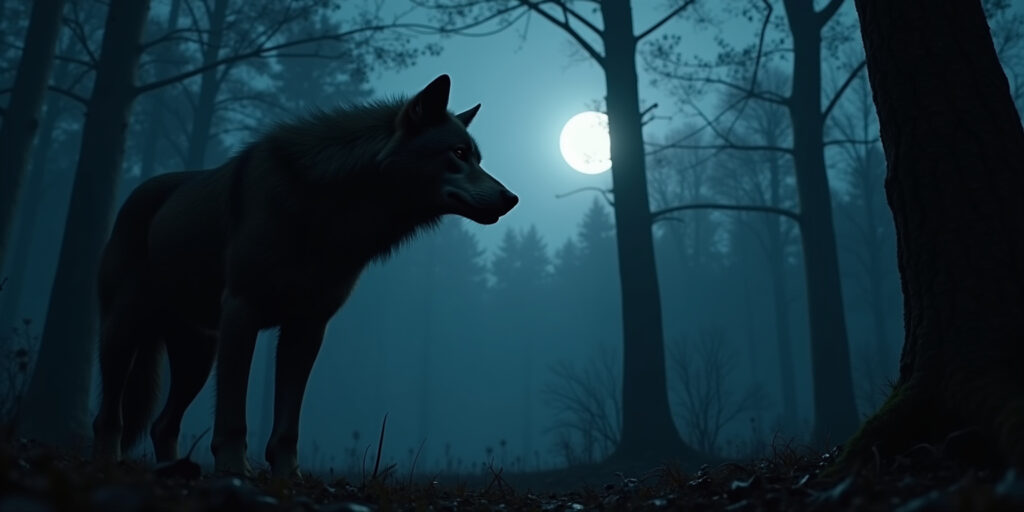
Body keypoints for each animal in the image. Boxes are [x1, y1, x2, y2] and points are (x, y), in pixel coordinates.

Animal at [91, 75, 518, 477]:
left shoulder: (308, 326)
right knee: (109, 416)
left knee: (162, 425)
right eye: (459, 153)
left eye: (478, 158)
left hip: (197, 356)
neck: (326, 211)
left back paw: (172, 471)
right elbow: (233, 417)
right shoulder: (242, 311)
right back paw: (108, 463)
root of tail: (138, 191)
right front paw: (234, 470)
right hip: (126, 335)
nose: (512, 198)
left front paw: (288, 475)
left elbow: (287, 424)